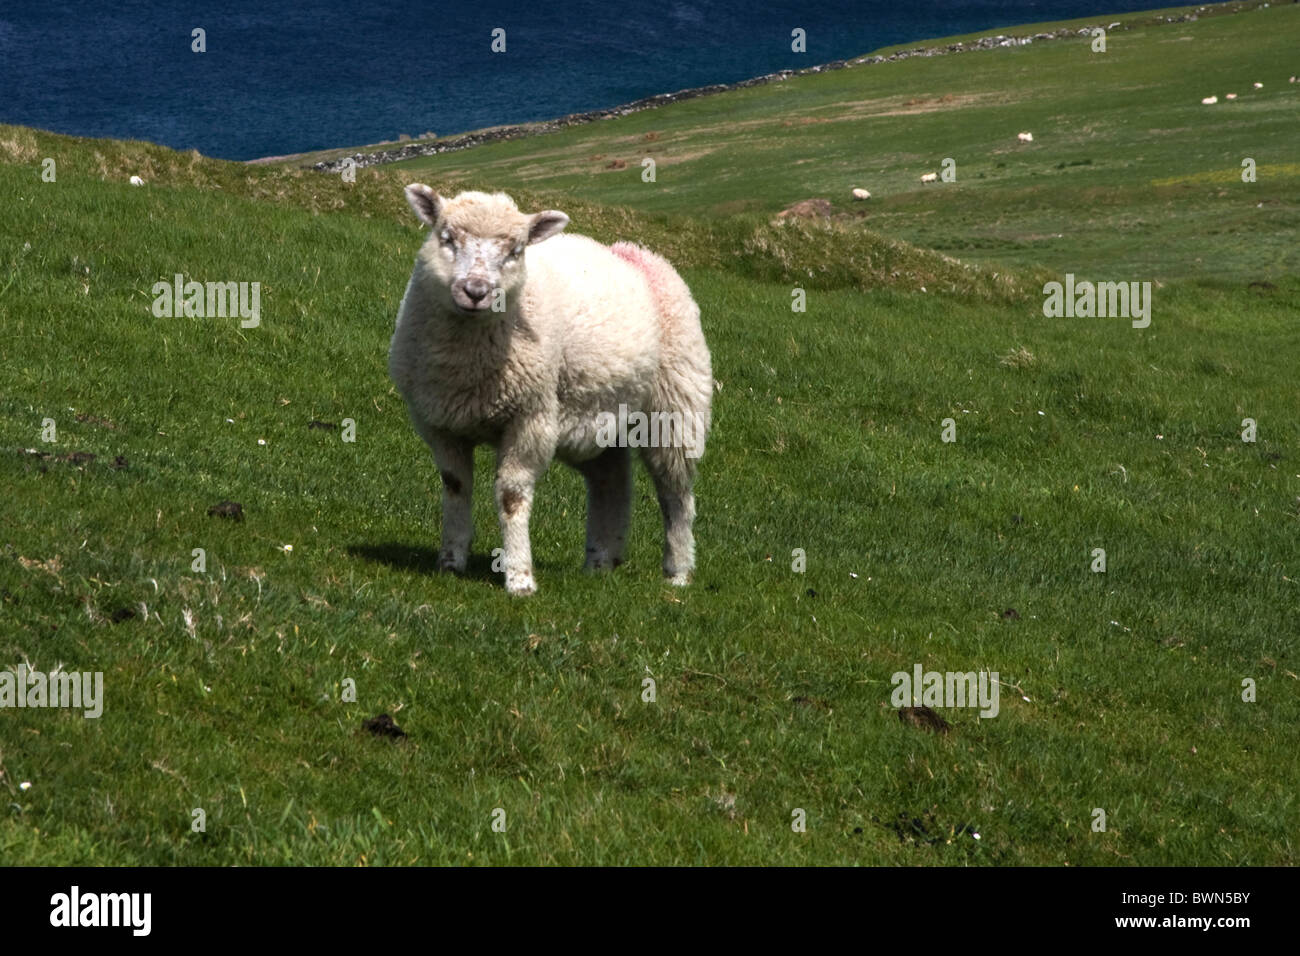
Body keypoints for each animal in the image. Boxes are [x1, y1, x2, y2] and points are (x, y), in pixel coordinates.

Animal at [389, 186, 713, 595]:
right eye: (446, 238)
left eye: (516, 251)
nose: (476, 291)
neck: (468, 364)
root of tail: (637, 251)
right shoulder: (439, 422)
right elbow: (456, 487)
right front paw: (450, 562)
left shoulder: (531, 417)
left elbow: (511, 496)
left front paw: (519, 578)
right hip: (598, 416)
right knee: (611, 482)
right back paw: (600, 561)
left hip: (675, 408)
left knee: (676, 494)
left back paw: (678, 572)